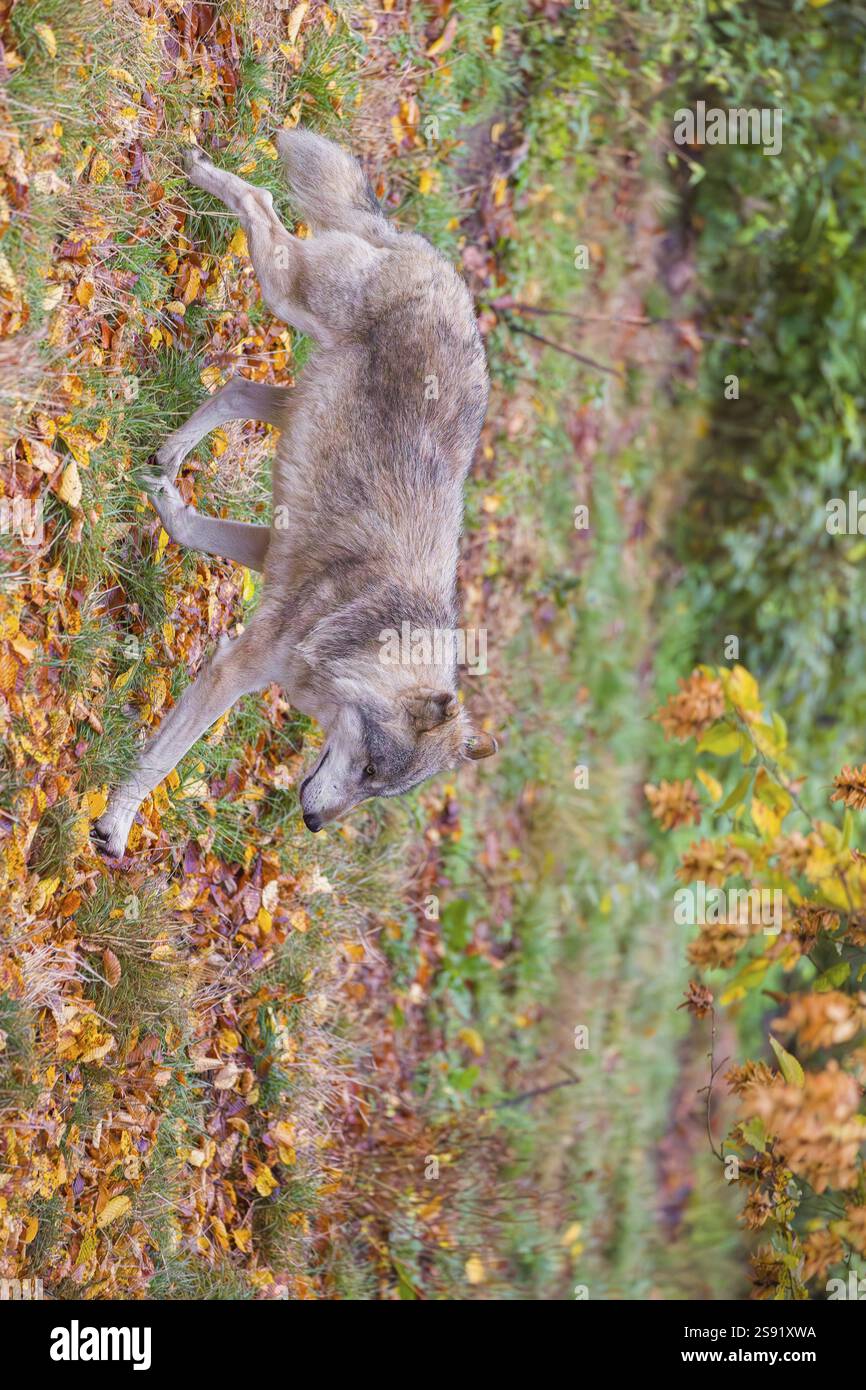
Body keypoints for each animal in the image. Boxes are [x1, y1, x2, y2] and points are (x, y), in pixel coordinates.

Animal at [92, 129, 498, 857]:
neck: (358, 634)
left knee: (235, 388)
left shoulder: (270, 548)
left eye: (377, 792)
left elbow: (187, 527)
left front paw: (159, 494)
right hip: (288, 292)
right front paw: (116, 825)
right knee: (258, 199)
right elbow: (162, 761)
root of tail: (439, 264)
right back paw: (199, 165)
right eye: (369, 769)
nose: (312, 824)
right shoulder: (236, 664)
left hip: (292, 397)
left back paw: (168, 454)